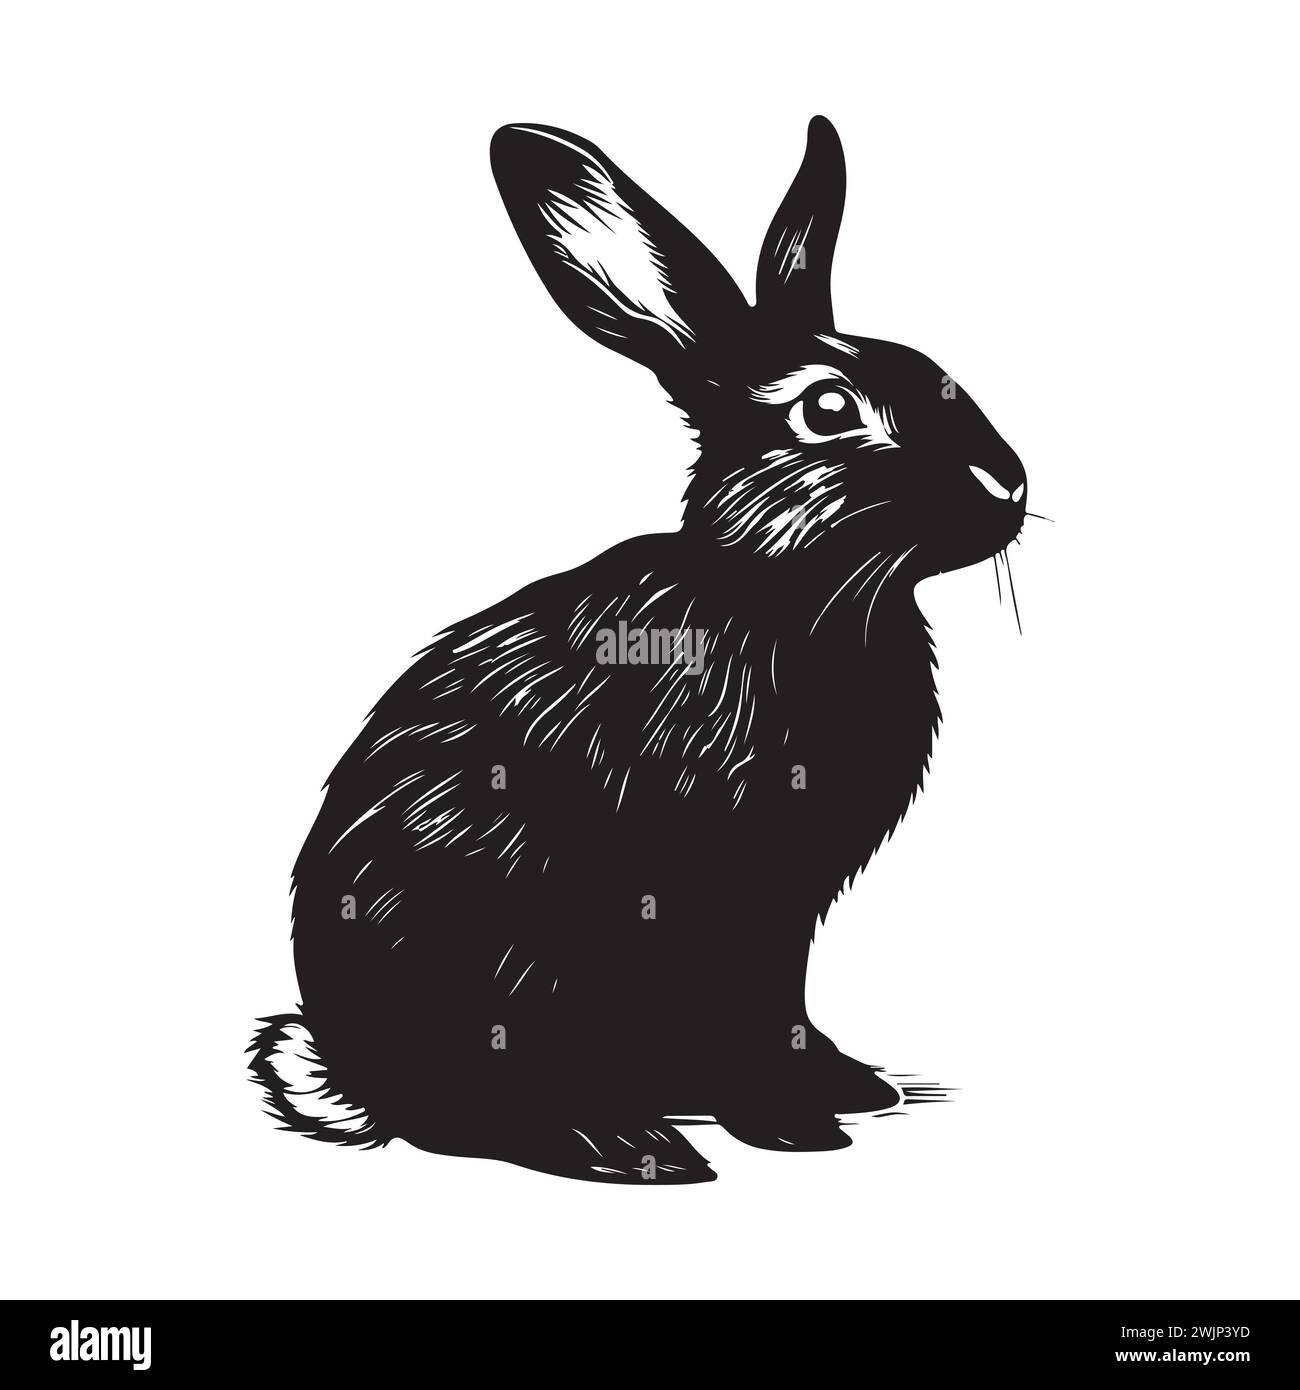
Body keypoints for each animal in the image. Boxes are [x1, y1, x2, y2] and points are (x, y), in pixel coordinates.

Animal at [249, 116, 1027, 1184]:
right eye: (829, 409)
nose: (1010, 484)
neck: (785, 598)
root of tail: (357, 1070)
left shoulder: (788, 920)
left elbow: (780, 1009)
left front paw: (836, 1091)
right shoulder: (722, 898)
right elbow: (742, 1013)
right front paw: (791, 1126)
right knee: (475, 1112)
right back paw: (621, 1142)